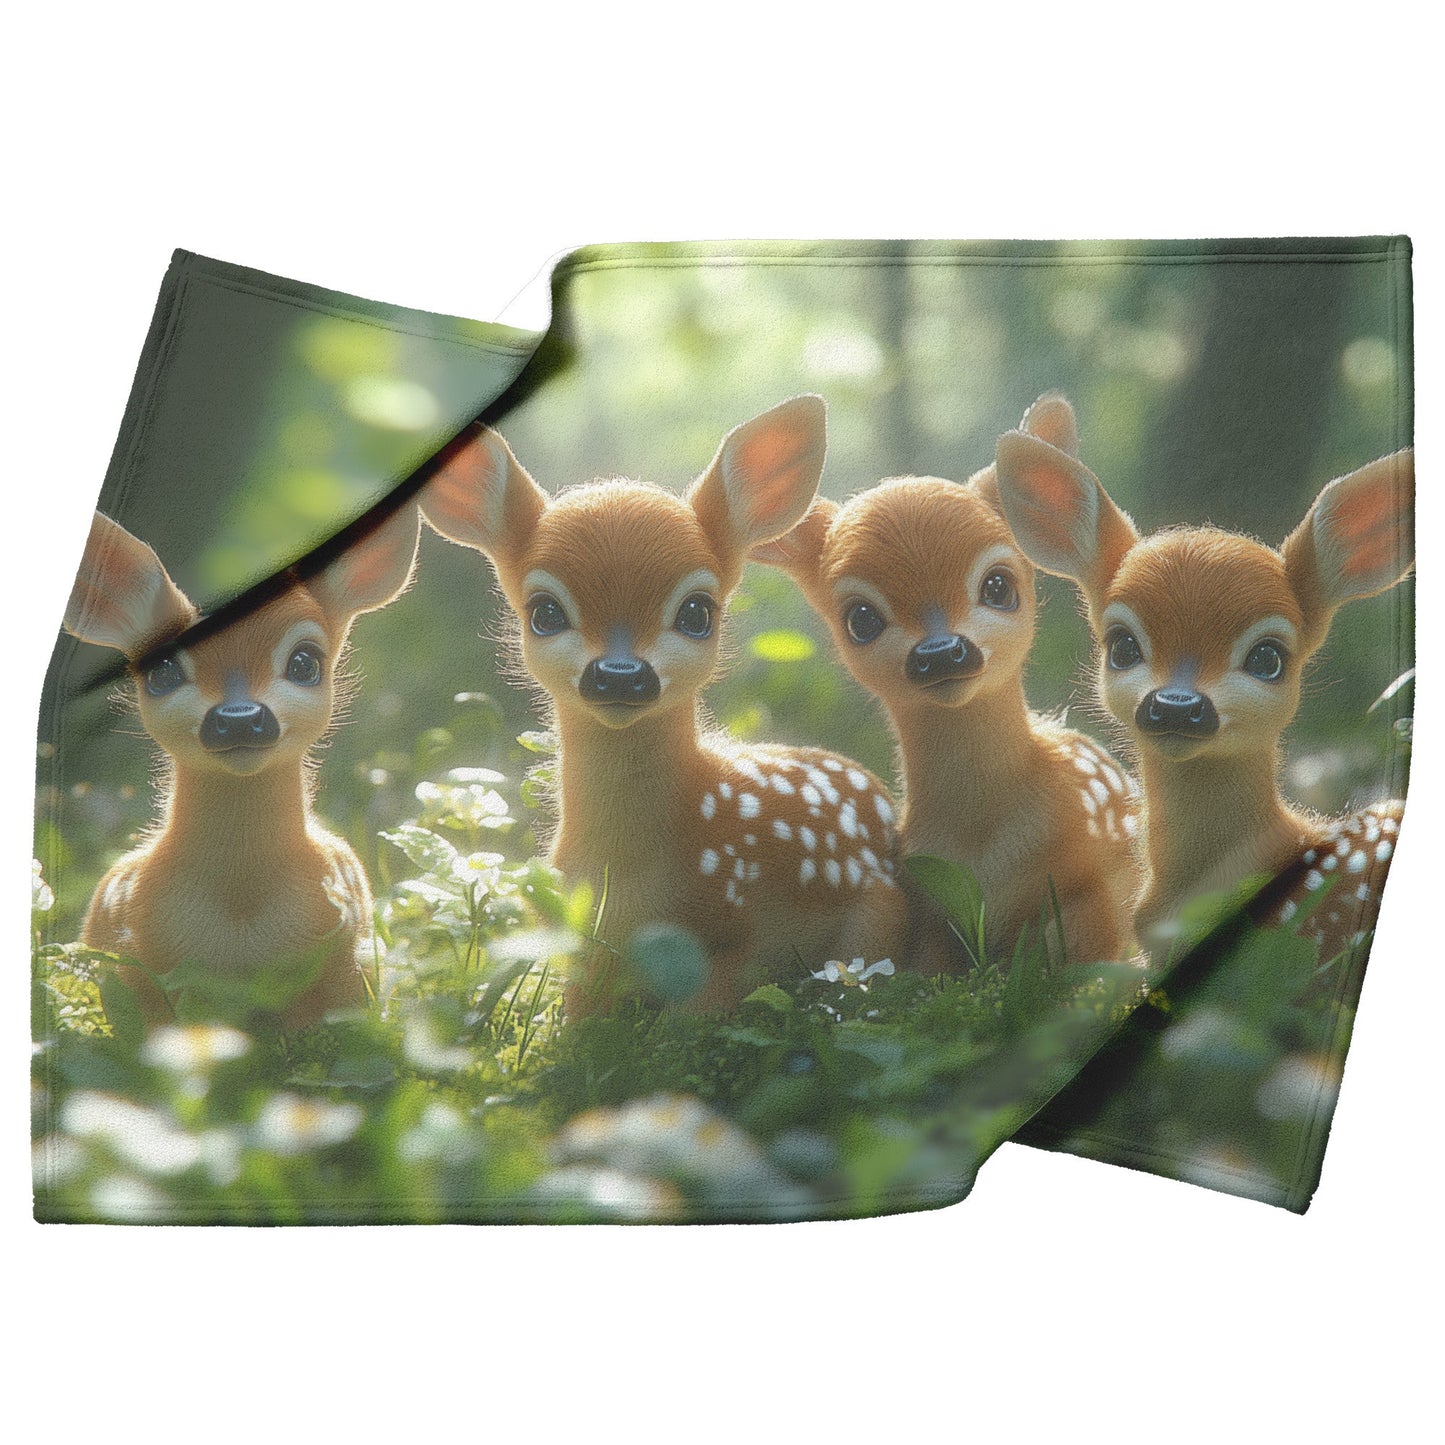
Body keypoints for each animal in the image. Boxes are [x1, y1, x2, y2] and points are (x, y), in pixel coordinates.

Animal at [61, 503, 421, 1031]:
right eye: (162, 671)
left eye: (305, 662)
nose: (238, 718)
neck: (240, 903)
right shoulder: (139, 970)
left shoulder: (348, 961)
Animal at [417, 395, 908, 1012]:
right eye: (544, 611)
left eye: (697, 612)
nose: (620, 675)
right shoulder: (583, 941)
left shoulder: (736, 929)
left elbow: (695, 1013)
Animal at [749, 394, 1140, 972]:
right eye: (861, 618)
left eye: (998, 586)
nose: (939, 653)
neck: (984, 840)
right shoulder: (931, 910)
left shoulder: (1092, 883)